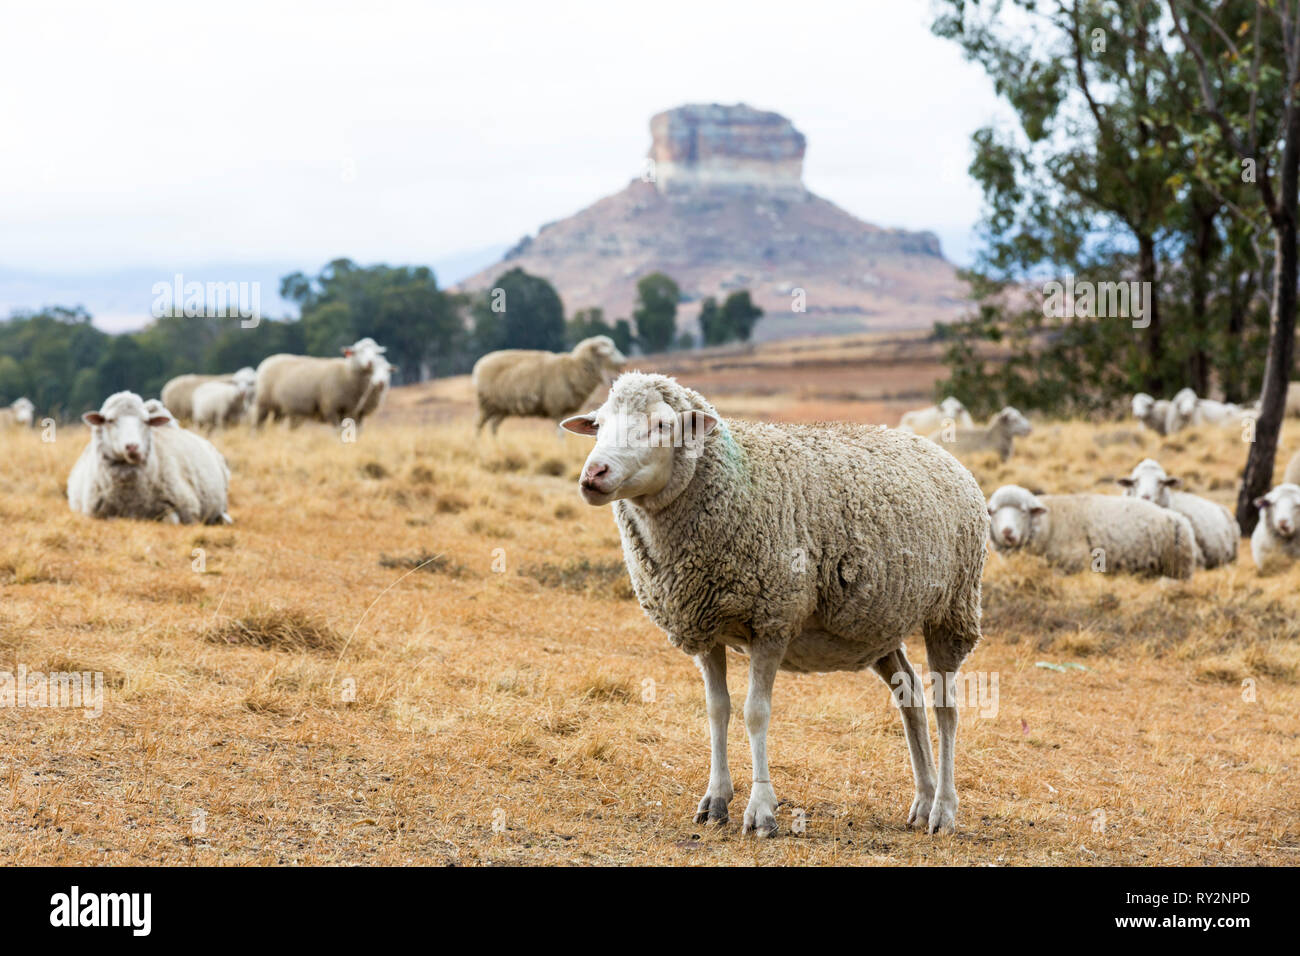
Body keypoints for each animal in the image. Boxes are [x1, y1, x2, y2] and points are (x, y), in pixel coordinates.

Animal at [67, 391, 231, 525]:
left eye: (146, 421)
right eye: (110, 420)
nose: (132, 446)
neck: (128, 495)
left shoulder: (187, 509)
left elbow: (172, 520)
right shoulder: (95, 514)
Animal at [253, 339, 389, 427]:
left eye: (376, 353)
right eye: (359, 351)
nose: (370, 362)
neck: (348, 374)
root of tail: (267, 361)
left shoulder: (357, 414)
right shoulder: (331, 408)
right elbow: (339, 431)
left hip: (279, 408)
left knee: (275, 423)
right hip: (263, 403)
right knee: (258, 424)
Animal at [473, 335, 626, 435]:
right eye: (611, 351)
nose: (624, 361)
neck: (574, 368)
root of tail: (479, 365)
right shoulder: (557, 407)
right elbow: (560, 433)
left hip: (500, 408)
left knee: (493, 426)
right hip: (486, 403)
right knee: (478, 425)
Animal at [561, 371, 987, 837]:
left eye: (661, 425)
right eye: (599, 424)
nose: (594, 473)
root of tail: (938, 450)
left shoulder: (772, 619)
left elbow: (755, 713)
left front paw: (762, 810)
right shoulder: (704, 622)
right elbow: (717, 710)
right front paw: (715, 801)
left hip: (952, 609)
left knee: (947, 708)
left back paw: (944, 810)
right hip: (877, 625)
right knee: (909, 695)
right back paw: (923, 801)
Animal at [987, 484, 1197, 578]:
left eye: (1023, 511)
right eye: (993, 512)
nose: (1007, 532)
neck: (1049, 524)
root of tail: (1173, 515)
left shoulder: (1076, 560)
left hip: (1179, 564)